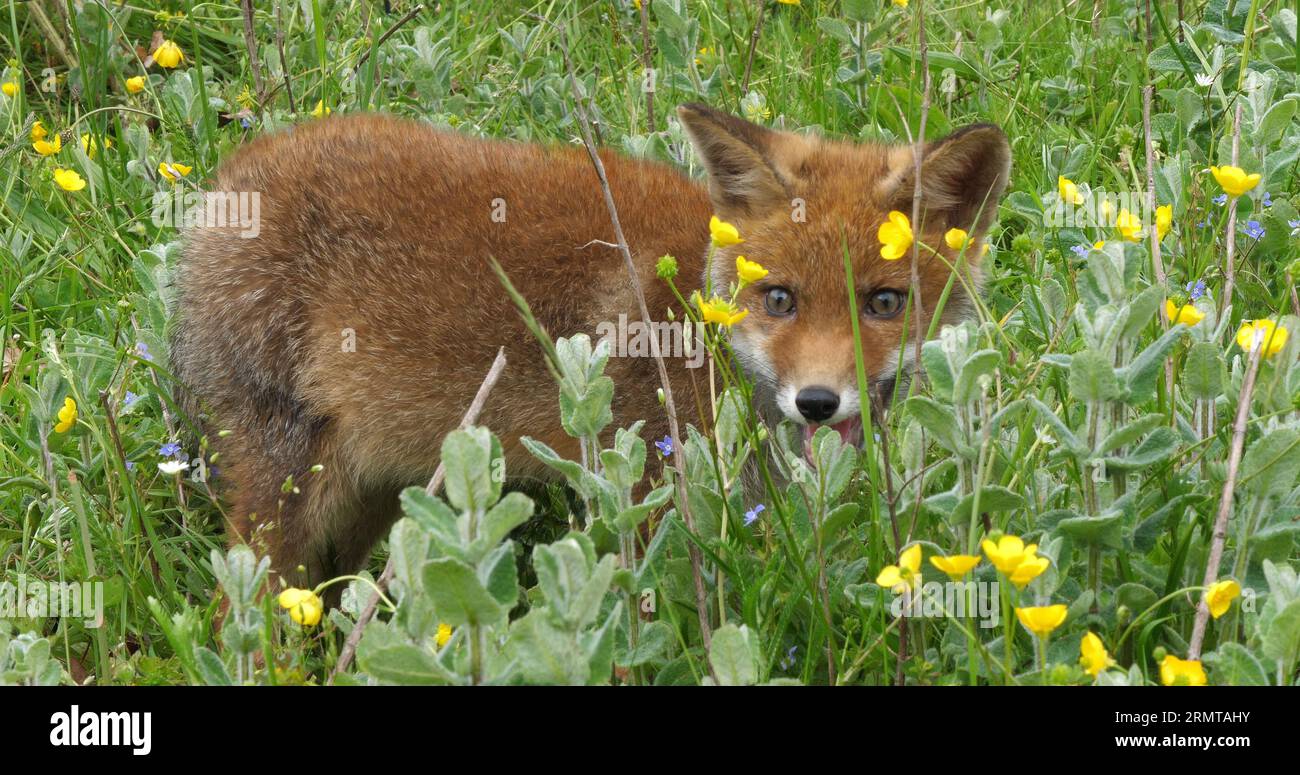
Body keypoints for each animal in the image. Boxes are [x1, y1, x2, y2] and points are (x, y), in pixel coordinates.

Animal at [170, 103, 1010, 590]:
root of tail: (229, 180)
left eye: (885, 303)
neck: (696, 319)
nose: (816, 401)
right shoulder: (641, 487)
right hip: (289, 482)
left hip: (371, 488)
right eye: (780, 299)